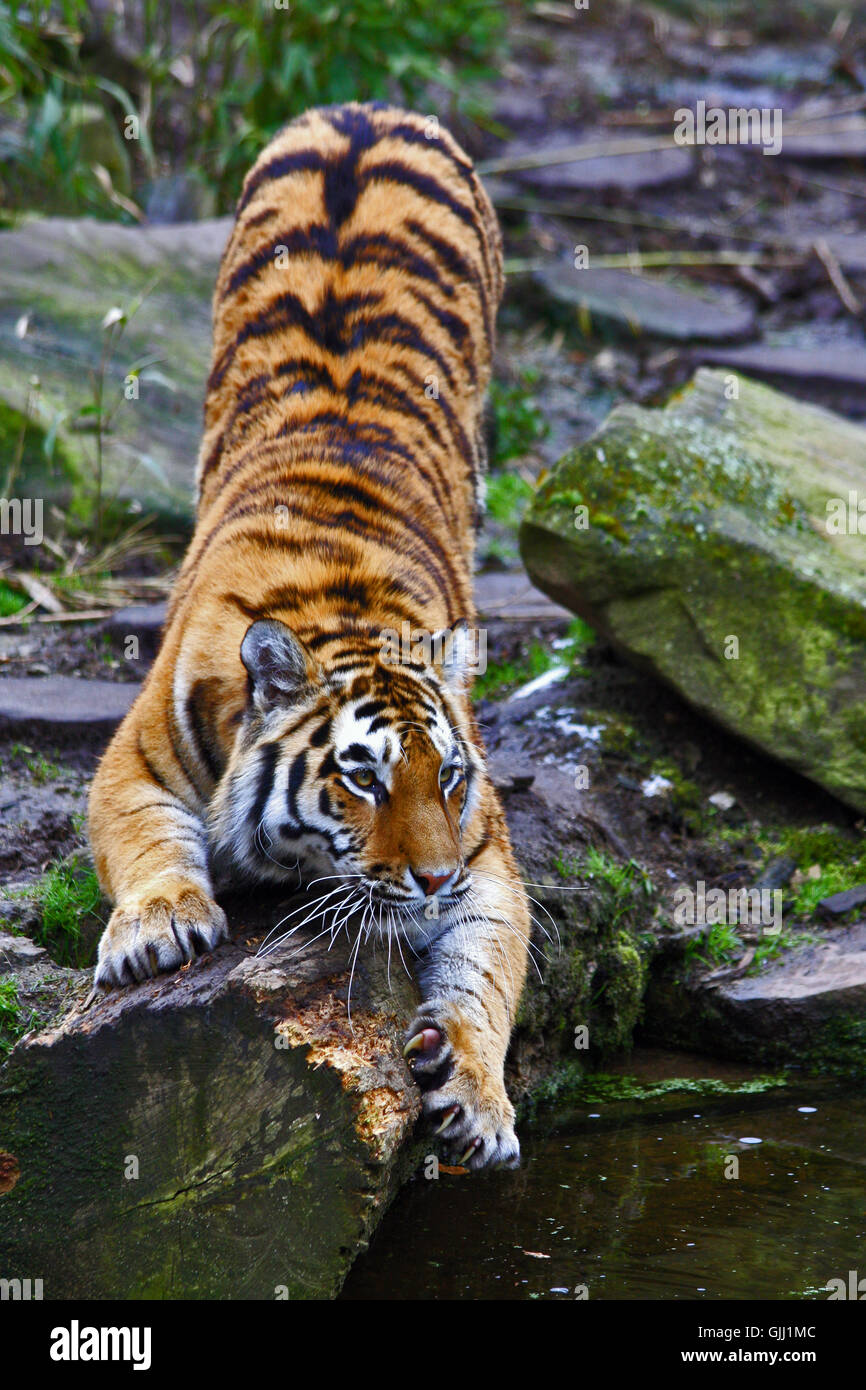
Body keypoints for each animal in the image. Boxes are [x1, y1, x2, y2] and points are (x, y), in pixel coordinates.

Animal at [88, 102, 530, 1170]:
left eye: (449, 778)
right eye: (362, 777)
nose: (432, 878)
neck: (345, 613)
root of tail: (369, 110)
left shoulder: (486, 845)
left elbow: (490, 961)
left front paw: (476, 1094)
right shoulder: (132, 758)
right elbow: (145, 834)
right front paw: (158, 926)